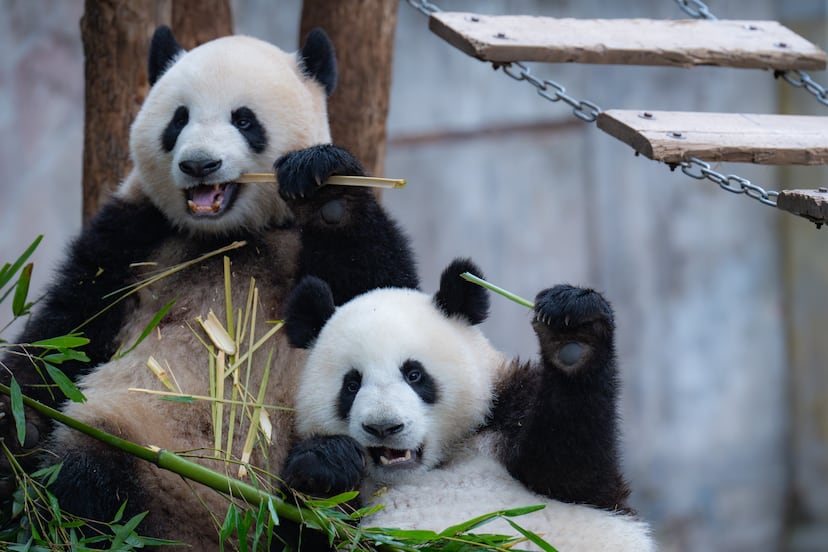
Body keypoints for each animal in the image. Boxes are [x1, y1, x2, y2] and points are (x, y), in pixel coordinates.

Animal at [0, 26, 417, 548]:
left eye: (244, 119)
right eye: (179, 119)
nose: (200, 165)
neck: (228, 236)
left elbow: (381, 296)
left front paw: (326, 188)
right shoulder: (132, 236)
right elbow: (67, 330)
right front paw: (16, 417)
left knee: (334, 506)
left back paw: (321, 476)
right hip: (132, 441)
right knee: (85, 477)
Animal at [281, 259, 655, 551]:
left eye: (414, 374)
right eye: (352, 384)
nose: (383, 426)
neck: (432, 466)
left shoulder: (508, 409)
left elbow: (569, 468)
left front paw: (572, 334)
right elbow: (307, 525)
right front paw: (324, 465)